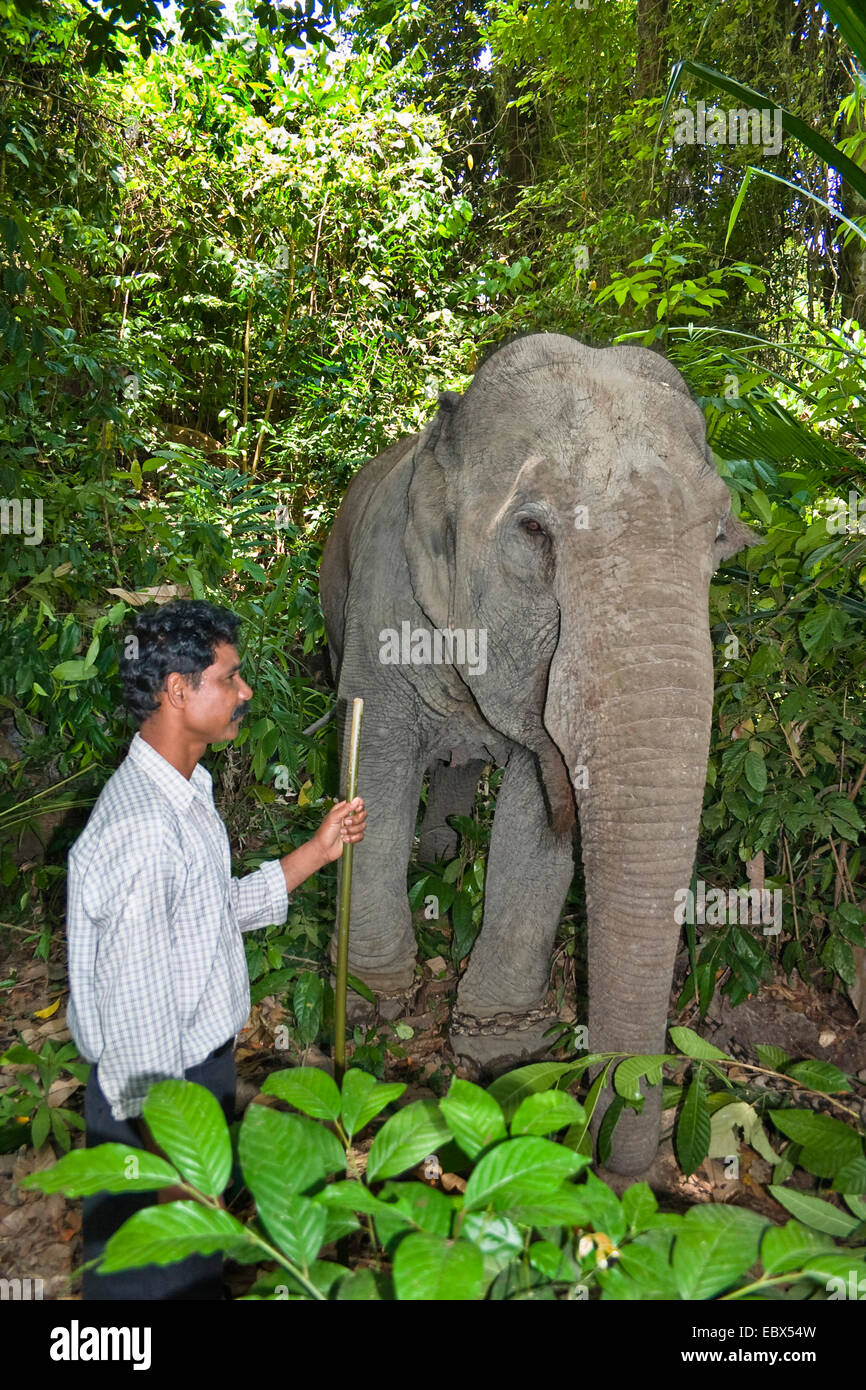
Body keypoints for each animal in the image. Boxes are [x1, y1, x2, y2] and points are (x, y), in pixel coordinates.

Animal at [319, 332, 755, 1174]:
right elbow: (376, 763)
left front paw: (499, 1051)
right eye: (532, 530)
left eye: (721, 535)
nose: (617, 1166)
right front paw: (373, 1005)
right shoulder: (382, 602)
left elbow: (532, 807)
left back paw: (445, 852)